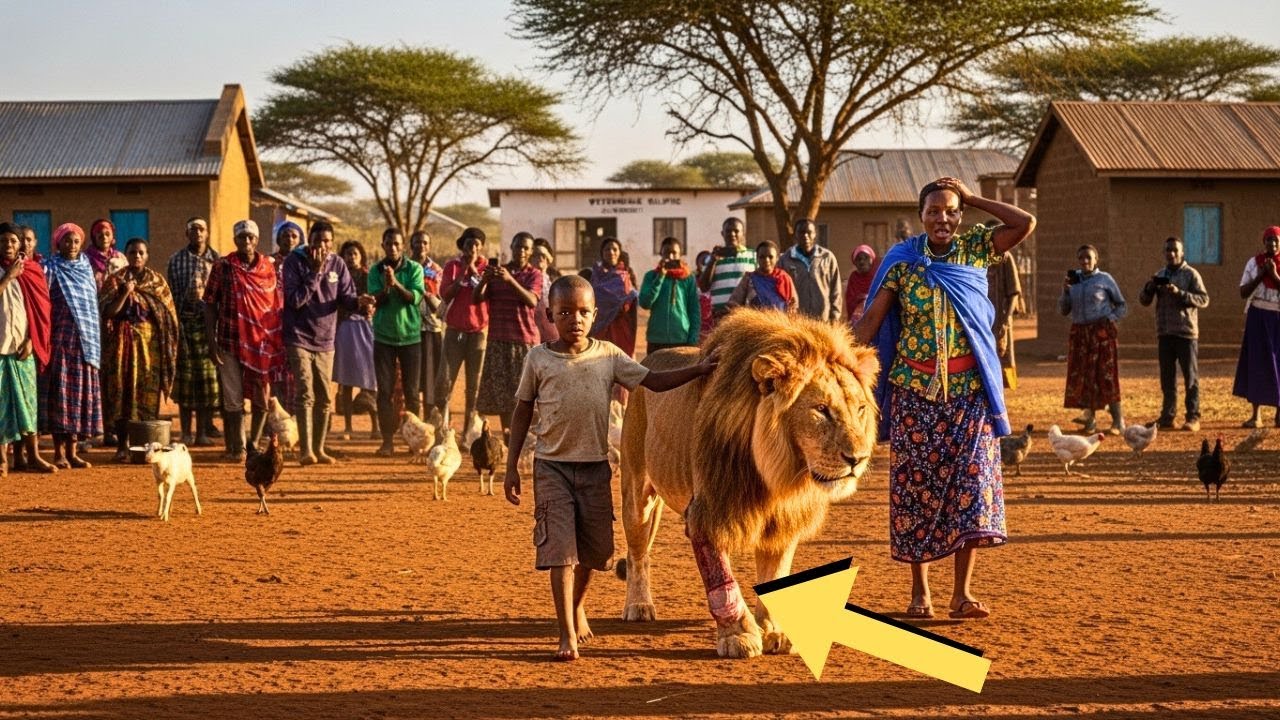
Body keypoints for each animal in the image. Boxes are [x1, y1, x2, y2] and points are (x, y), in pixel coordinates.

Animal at [617, 308, 880, 658]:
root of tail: (650, 360)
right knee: (638, 553)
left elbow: (776, 575)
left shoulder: (783, 520)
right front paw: (738, 636)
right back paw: (639, 605)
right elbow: (722, 580)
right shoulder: (707, 512)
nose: (858, 459)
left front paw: (775, 631)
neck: (777, 476)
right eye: (821, 410)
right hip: (637, 492)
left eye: (860, 408)